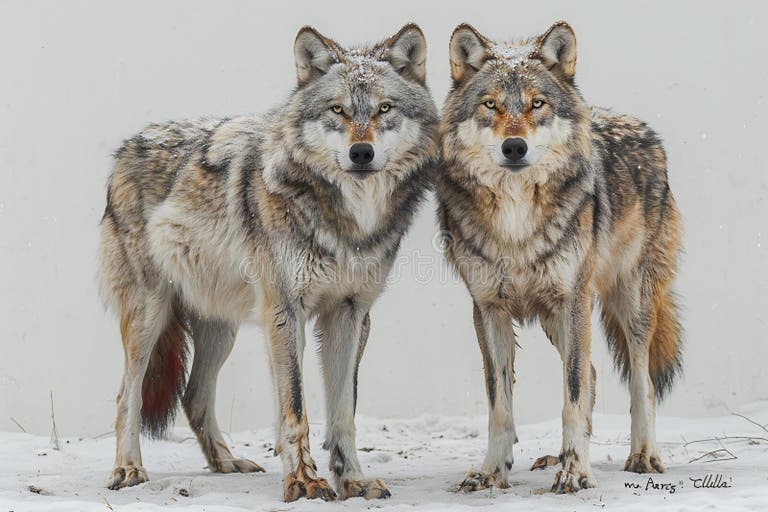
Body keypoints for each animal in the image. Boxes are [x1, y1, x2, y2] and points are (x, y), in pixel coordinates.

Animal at [98, 23, 438, 501]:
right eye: (337, 109)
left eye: (384, 109)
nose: (361, 153)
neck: (347, 223)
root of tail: (128, 147)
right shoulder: (285, 312)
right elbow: (294, 409)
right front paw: (304, 482)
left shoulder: (350, 314)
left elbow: (343, 413)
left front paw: (352, 480)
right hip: (150, 316)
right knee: (126, 396)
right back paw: (128, 470)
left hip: (220, 327)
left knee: (194, 396)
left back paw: (226, 462)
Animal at [436, 21, 683, 493]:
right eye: (491, 104)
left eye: (537, 103)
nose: (514, 147)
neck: (516, 219)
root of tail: (647, 132)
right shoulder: (488, 307)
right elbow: (499, 403)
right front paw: (492, 471)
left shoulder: (574, 300)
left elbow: (571, 394)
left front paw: (576, 471)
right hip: (558, 320)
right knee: (592, 374)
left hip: (629, 304)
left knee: (639, 381)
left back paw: (643, 455)